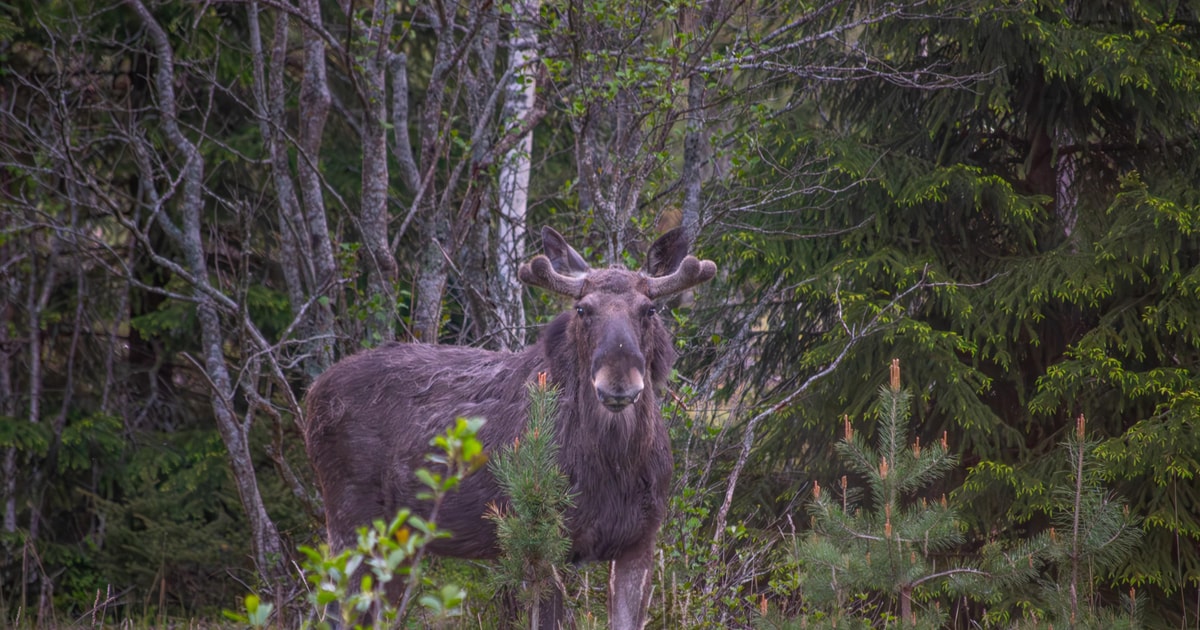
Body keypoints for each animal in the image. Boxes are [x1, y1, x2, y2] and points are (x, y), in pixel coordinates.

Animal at [303, 227, 716, 629]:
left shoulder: (640, 541)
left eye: (649, 309)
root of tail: (312, 394)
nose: (618, 383)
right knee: (335, 610)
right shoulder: (544, 539)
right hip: (350, 519)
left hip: (399, 543)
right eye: (582, 309)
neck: (614, 468)